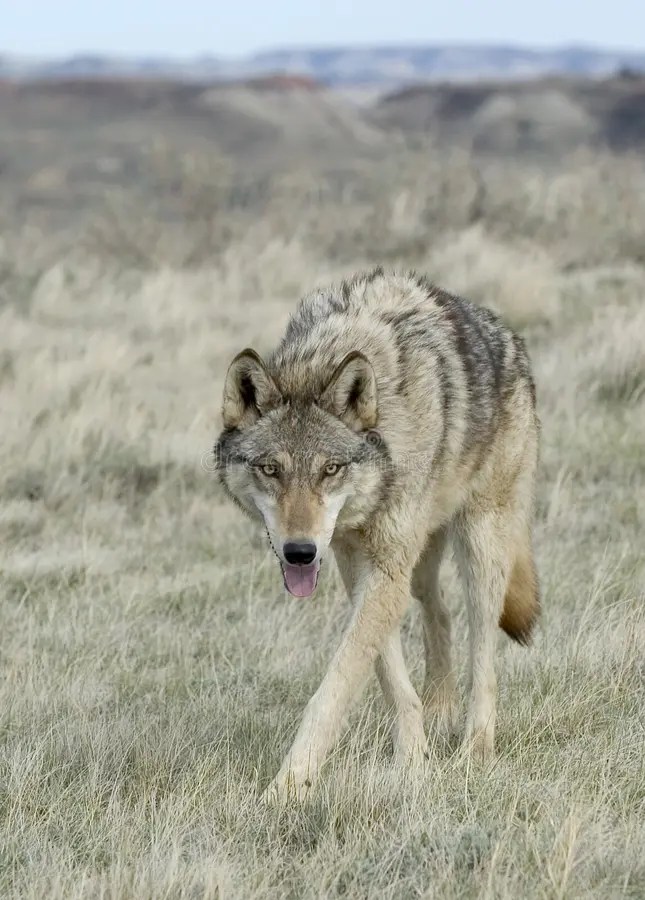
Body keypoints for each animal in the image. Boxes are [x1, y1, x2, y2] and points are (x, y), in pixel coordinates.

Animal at [215, 268, 539, 801]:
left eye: (330, 469)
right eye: (270, 469)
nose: (300, 552)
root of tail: (509, 337)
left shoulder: (385, 566)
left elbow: (335, 686)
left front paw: (288, 787)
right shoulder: (355, 560)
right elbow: (389, 676)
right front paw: (413, 761)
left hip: (479, 543)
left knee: (484, 654)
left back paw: (474, 751)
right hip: (421, 561)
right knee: (439, 612)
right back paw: (441, 712)